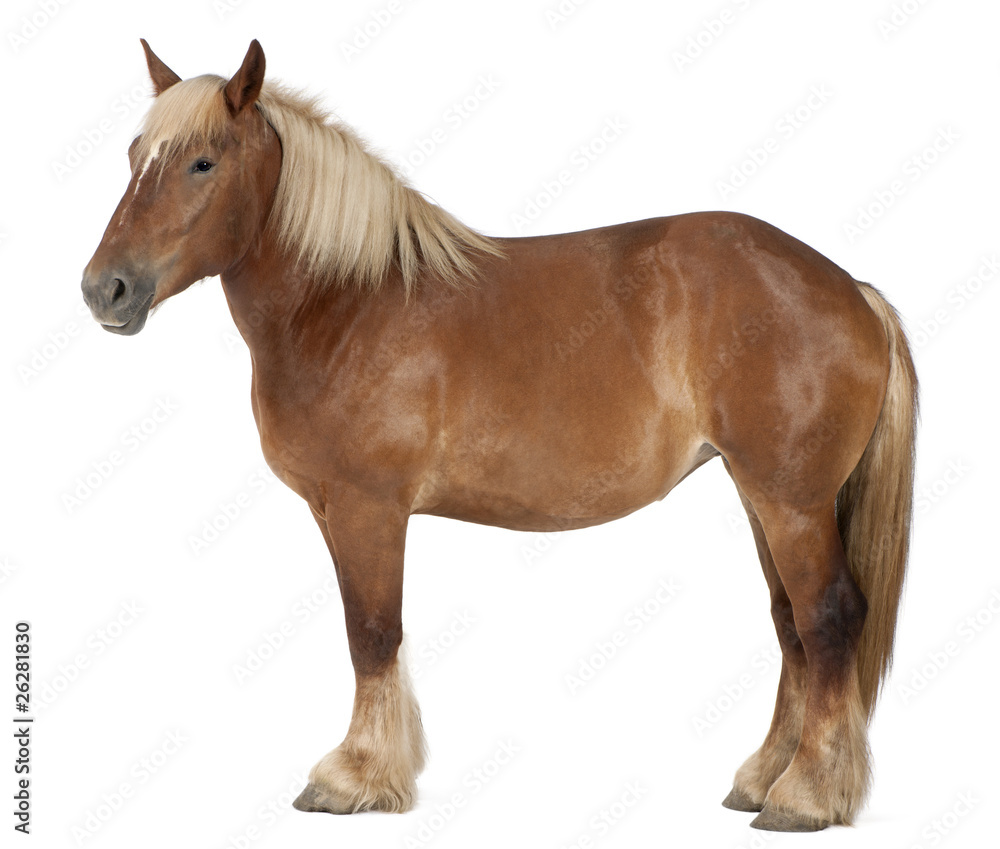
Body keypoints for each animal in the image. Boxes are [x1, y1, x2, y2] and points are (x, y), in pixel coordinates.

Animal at [81, 40, 917, 832]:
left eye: (202, 161)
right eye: (133, 153)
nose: (104, 289)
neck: (346, 302)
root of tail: (853, 290)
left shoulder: (366, 508)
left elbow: (372, 632)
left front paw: (354, 777)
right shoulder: (334, 509)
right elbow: (370, 633)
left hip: (791, 502)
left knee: (828, 618)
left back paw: (804, 796)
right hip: (760, 496)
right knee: (792, 626)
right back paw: (764, 776)